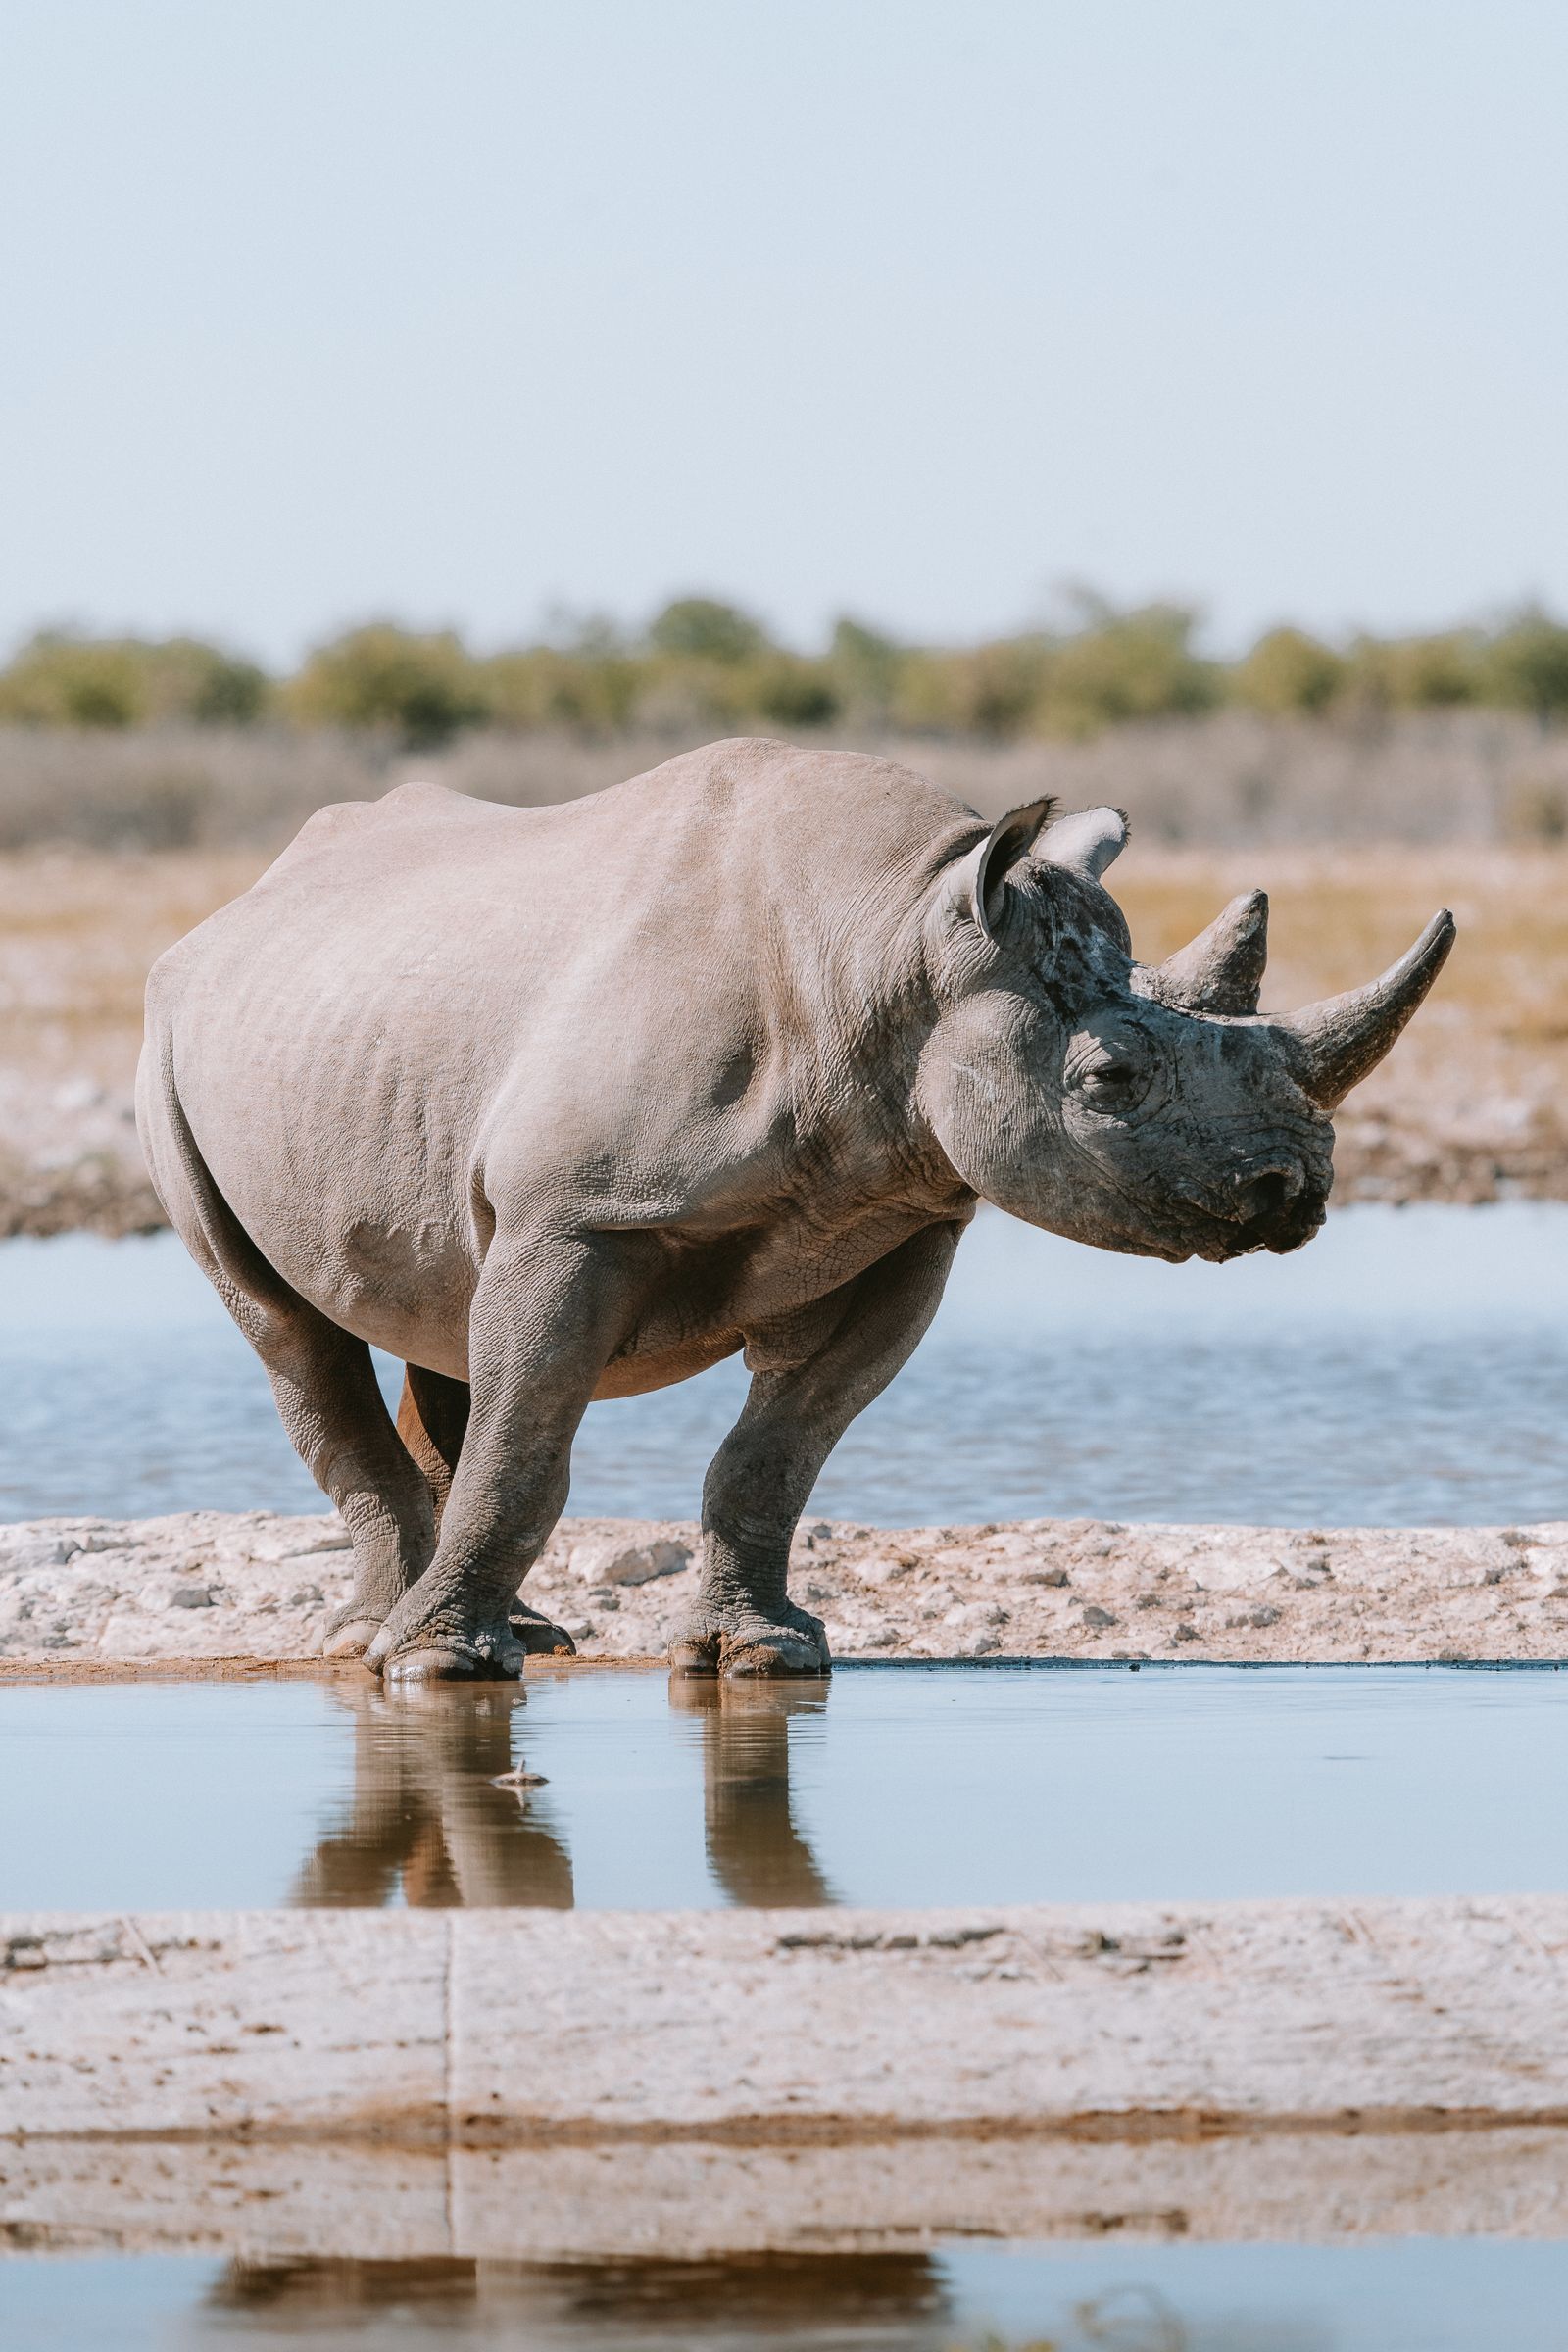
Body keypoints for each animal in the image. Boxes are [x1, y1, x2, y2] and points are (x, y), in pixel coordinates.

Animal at [137, 738, 1453, 1682]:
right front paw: (437, 1673)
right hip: (171, 1034)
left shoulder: (907, 1220)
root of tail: (242, 903)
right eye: (1110, 1080)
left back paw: (506, 1633)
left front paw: (762, 1656)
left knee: (439, 1313)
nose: (1288, 1192)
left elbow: (777, 1453)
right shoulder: (581, 1213)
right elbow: (528, 1445)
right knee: (288, 1330)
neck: (892, 939)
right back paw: (378, 1644)